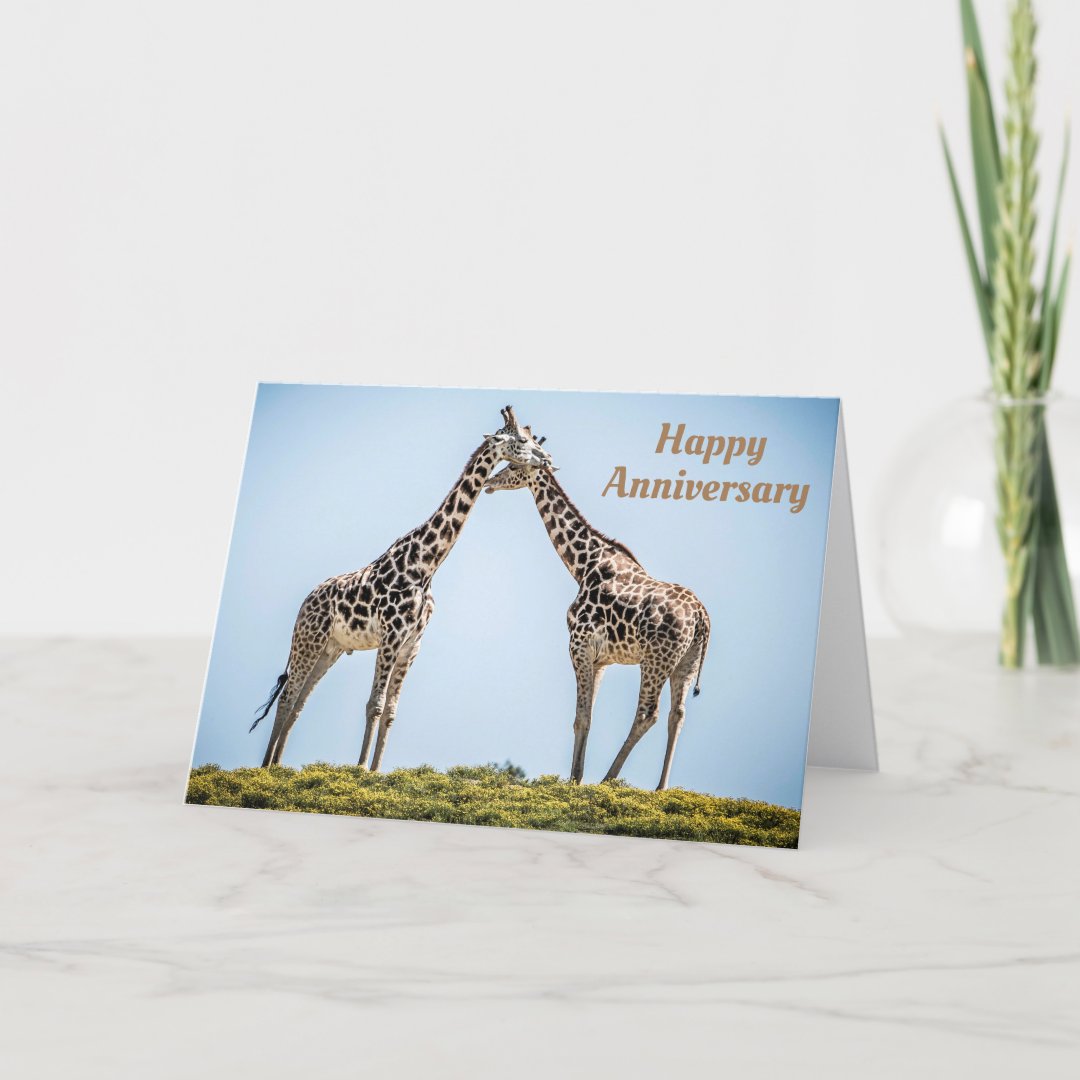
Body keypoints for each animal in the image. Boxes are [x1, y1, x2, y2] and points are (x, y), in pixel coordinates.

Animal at [252, 406, 553, 771]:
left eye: (534, 439)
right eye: (521, 441)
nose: (548, 459)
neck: (426, 564)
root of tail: (304, 604)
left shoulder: (412, 644)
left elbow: (391, 711)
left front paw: (376, 771)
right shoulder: (392, 636)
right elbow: (375, 704)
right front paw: (359, 771)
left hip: (330, 648)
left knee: (299, 702)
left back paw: (277, 765)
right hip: (307, 641)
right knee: (287, 696)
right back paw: (264, 769)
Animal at [484, 451, 710, 791]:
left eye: (513, 466)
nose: (488, 482)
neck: (582, 563)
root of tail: (701, 618)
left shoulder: (578, 645)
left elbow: (581, 717)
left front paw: (574, 779)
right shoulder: (600, 658)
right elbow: (588, 716)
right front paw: (575, 777)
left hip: (656, 658)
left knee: (647, 713)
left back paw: (608, 779)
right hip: (687, 661)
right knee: (677, 714)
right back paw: (661, 789)